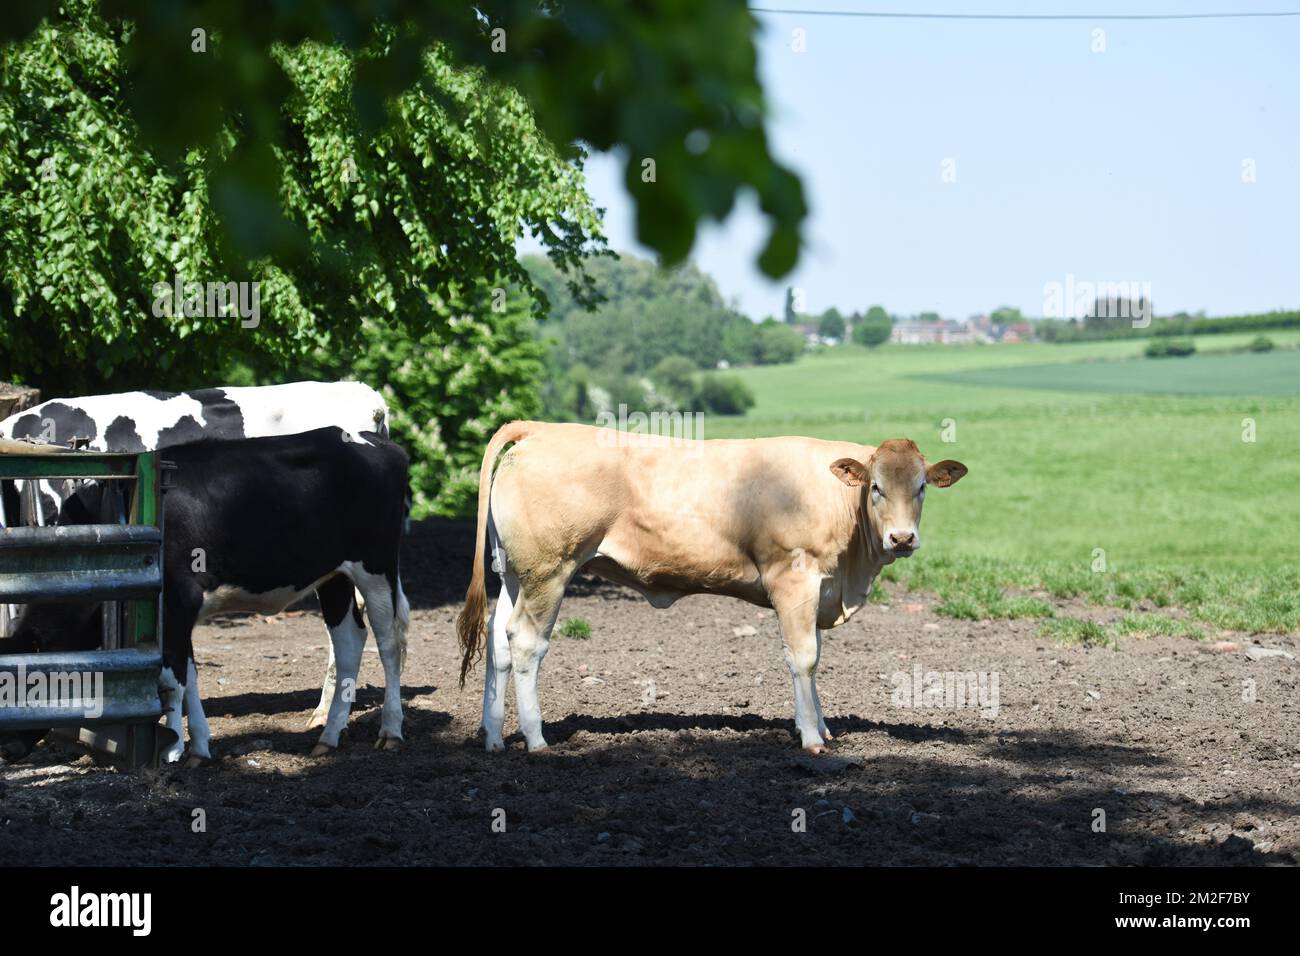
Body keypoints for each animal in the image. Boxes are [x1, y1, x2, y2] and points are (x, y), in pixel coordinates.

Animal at [1, 427, 410, 766]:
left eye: (26, 686)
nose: (7, 749)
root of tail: (377, 441)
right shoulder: (176, 614)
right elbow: (190, 675)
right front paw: (196, 746)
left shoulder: (178, 599)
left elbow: (173, 679)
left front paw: (171, 749)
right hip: (333, 575)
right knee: (349, 640)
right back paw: (328, 736)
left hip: (376, 565)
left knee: (388, 641)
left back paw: (390, 729)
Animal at [456, 422, 967, 753]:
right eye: (876, 487)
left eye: (921, 487)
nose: (901, 538)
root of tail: (540, 429)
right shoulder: (793, 579)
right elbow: (803, 658)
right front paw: (809, 738)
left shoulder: (819, 587)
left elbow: (815, 658)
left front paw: (823, 728)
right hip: (549, 570)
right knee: (526, 643)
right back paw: (536, 740)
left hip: (514, 573)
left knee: (499, 640)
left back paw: (495, 738)